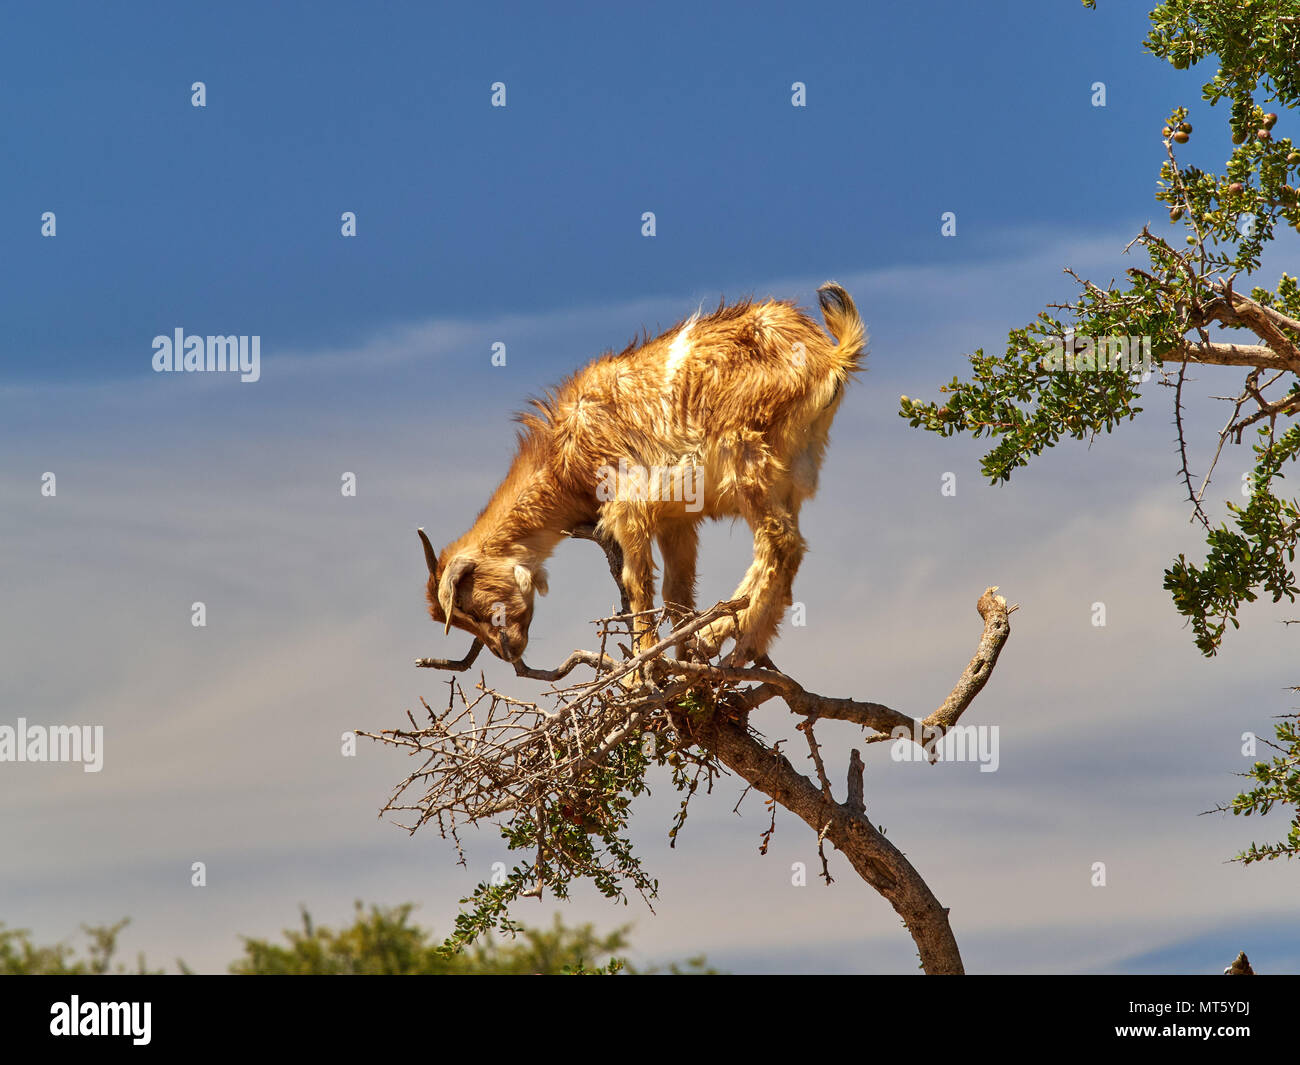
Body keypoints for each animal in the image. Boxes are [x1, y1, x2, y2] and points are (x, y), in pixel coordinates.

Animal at [419, 282, 866, 667]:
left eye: (470, 603)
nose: (507, 650)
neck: (564, 457)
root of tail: (830, 355)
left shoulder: (627, 505)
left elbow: (638, 587)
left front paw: (642, 671)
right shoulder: (677, 521)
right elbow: (676, 592)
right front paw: (683, 667)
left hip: (744, 453)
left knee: (780, 543)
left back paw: (724, 636)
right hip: (791, 474)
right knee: (786, 552)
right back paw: (736, 642)